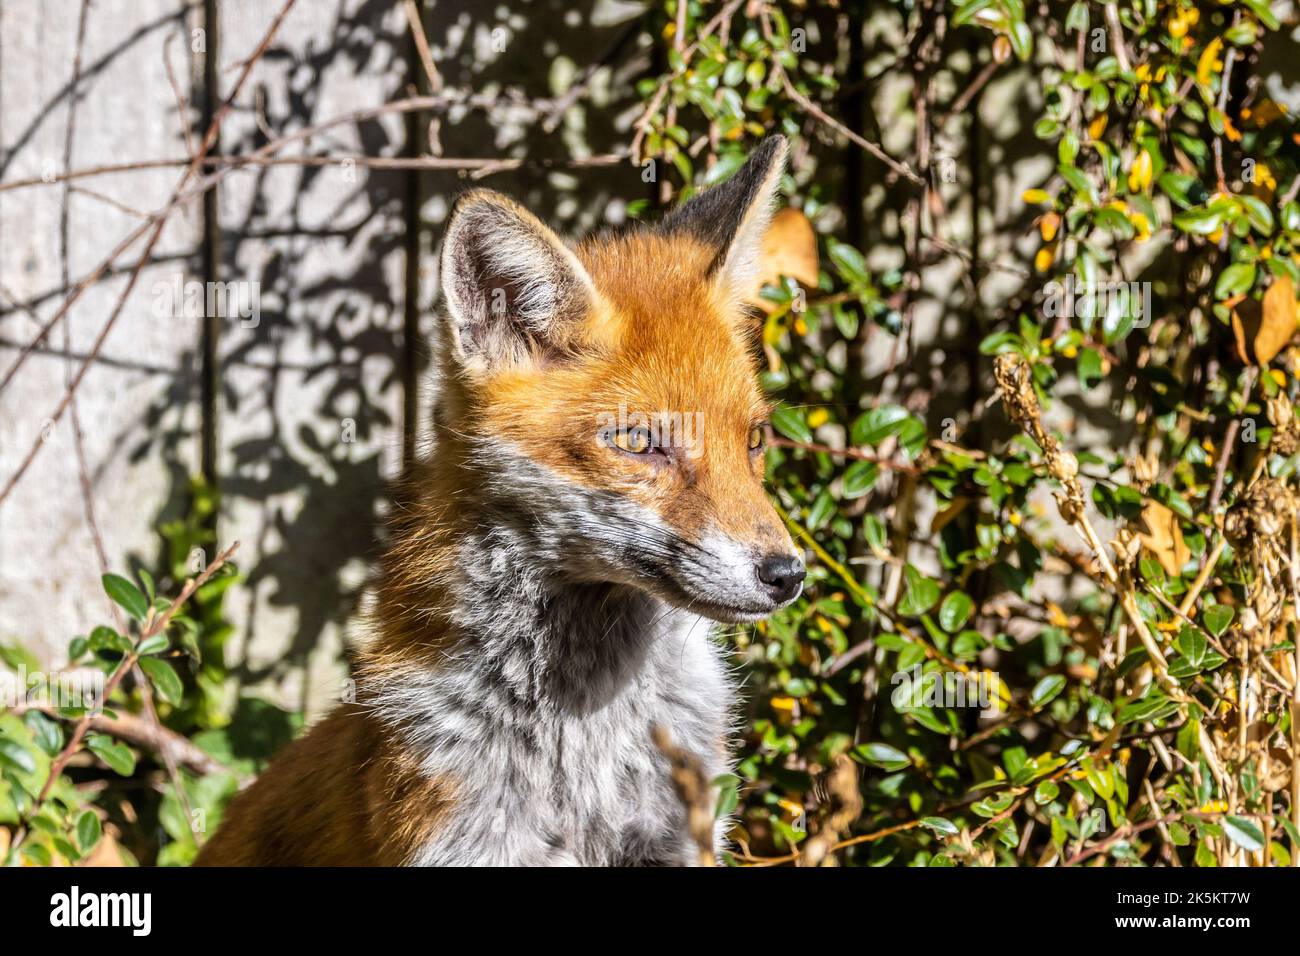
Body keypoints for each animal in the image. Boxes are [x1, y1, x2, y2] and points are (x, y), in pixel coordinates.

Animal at [195, 135, 805, 867]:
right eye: (640, 443)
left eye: (755, 440)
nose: (787, 574)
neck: (585, 745)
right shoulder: (464, 838)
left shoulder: (678, 837)